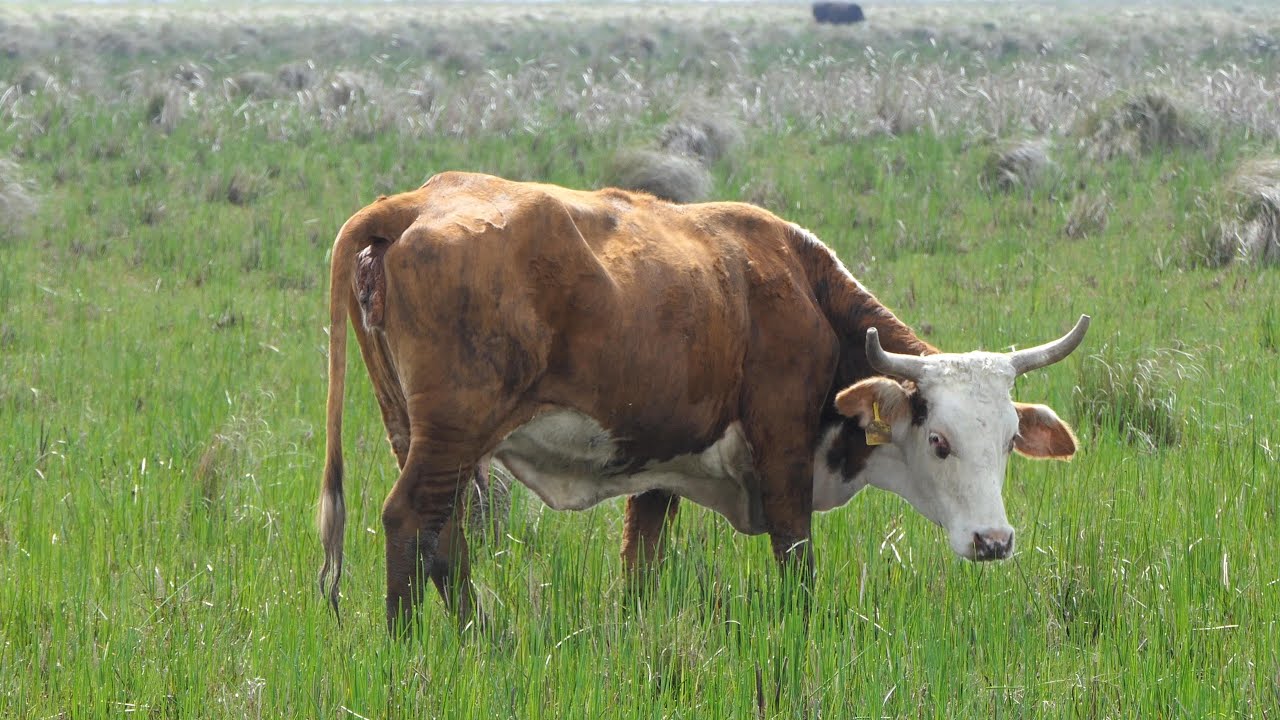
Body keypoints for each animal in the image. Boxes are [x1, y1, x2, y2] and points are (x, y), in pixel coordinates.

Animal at [318, 171, 1089, 633]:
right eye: (939, 442)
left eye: (1007, 443)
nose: (994, 541)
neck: (803, 288)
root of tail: (416, 202)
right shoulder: (783, 457)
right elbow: (798, 566)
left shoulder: (657, 470)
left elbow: (641, 564)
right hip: (451, 435)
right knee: (409, 521)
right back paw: (409, 649)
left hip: (421, 436)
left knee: (443, 536)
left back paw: (478, 636)